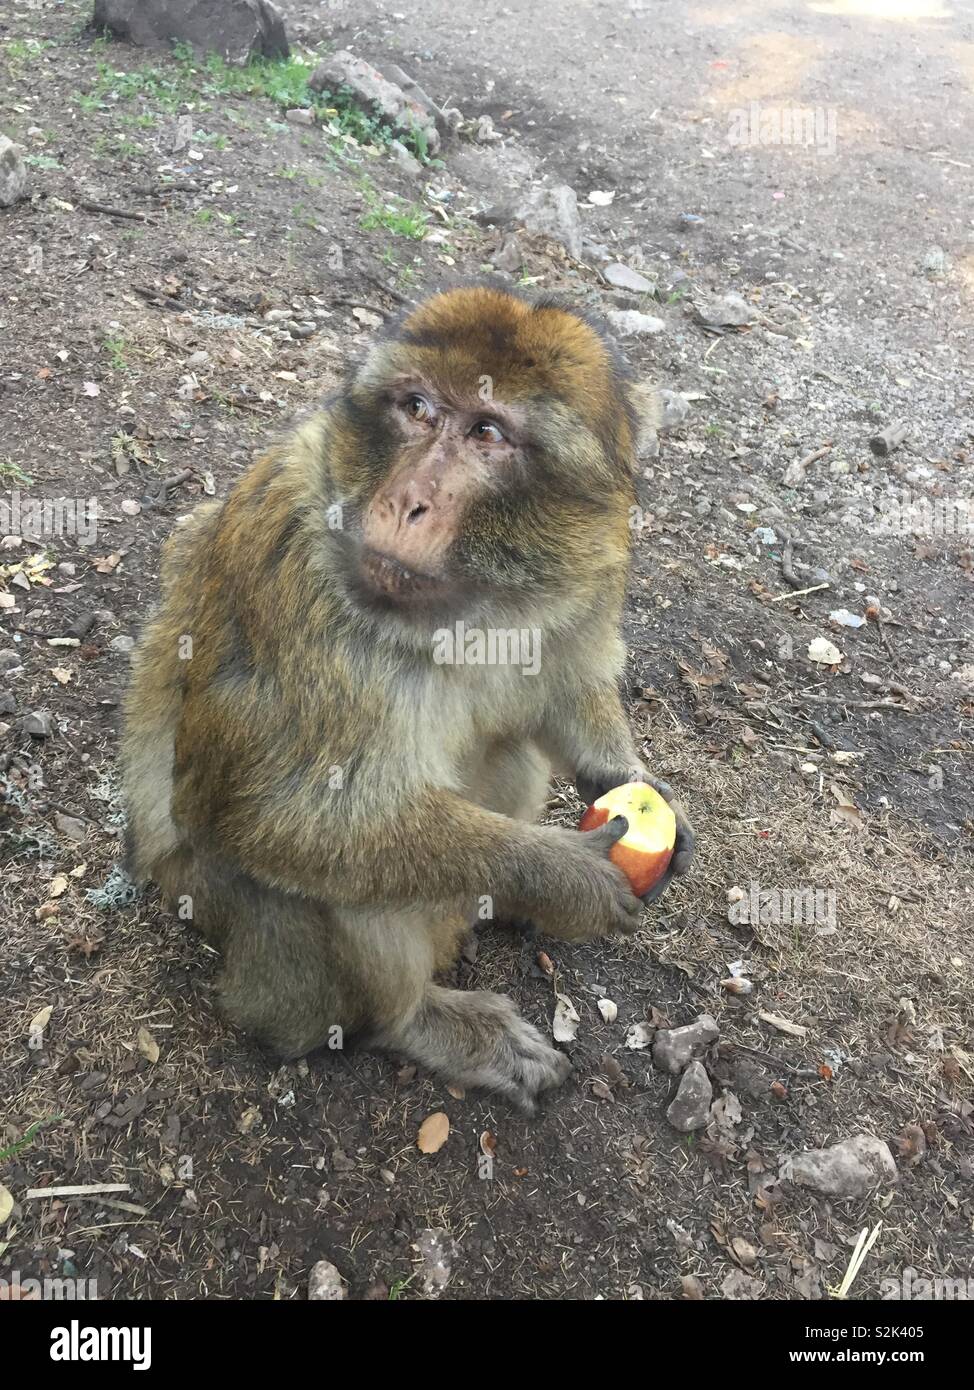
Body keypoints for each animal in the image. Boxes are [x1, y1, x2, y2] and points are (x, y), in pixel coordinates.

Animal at [121, 285, 694, 1113]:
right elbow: (266, 814)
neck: (475, 604)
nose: (408, 502)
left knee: (511, 752)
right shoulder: (295, 574)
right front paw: (558, 874)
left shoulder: (590, 569)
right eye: (417, 408)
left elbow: (566, 687)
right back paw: (421, 1021)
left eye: (487, 432)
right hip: (235, 922)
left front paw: (631, 783)